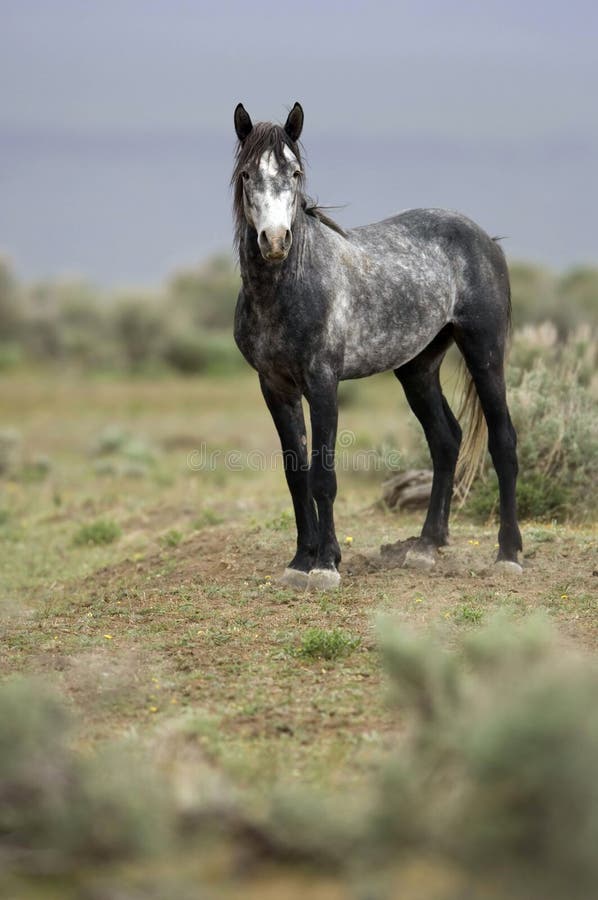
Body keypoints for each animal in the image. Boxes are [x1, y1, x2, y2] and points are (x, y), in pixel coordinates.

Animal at [232, 102, 522, 590]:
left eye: (295, 172)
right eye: (248, 174)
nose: (274, 241)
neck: (289, 288)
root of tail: (487, 240)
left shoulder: (323, 382)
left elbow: (323, 476)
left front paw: (326, 566)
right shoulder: (274, 386)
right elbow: (296, 474)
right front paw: (300, 561)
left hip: (484, 353)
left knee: (503, 441)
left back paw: (509, 554)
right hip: (418, 368)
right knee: (446, 440)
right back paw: (425, 547)